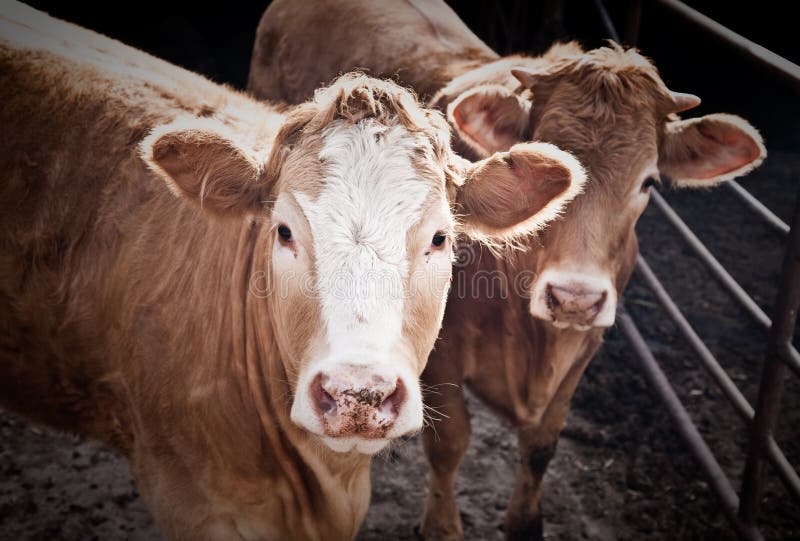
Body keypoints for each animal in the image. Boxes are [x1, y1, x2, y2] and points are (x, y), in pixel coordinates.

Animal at [247, 1, 767, 539]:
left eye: (648, 182)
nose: (575, 297)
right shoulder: (443, 348)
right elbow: (450, 443)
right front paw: (441, 526)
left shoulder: (584, 346)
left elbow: (540, 447)